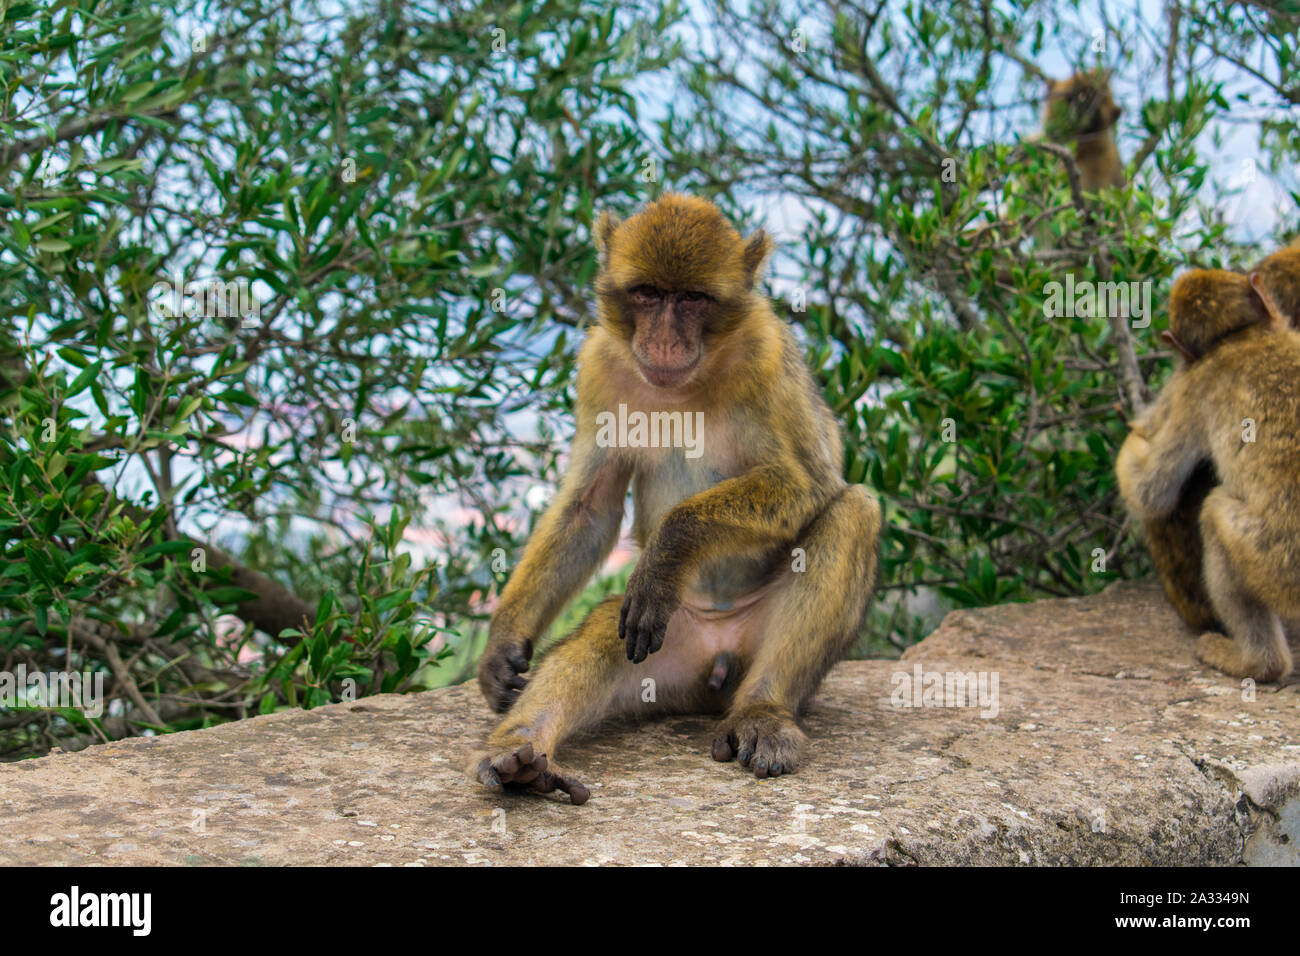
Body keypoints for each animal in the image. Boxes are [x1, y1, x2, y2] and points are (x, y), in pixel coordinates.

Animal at [470, 194, 882, 803]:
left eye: (691, 298)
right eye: (648, 293)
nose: (664, 339)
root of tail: (717, 659)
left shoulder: (769, 355)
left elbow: (809, 482)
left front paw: (668, 550)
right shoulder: (599, 364)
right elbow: (588, 510)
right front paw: (502, 642)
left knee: (854, 510)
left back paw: (763, 712)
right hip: (668, 651)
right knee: (603, 636)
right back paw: (522, 752)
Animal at [1117, 266, 1300, 682]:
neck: (1239, 336)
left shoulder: (1191, 389)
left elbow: (1151, 493)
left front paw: (1134, 432)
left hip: (1272, 561)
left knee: (1214, 515)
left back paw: (1258, 663)